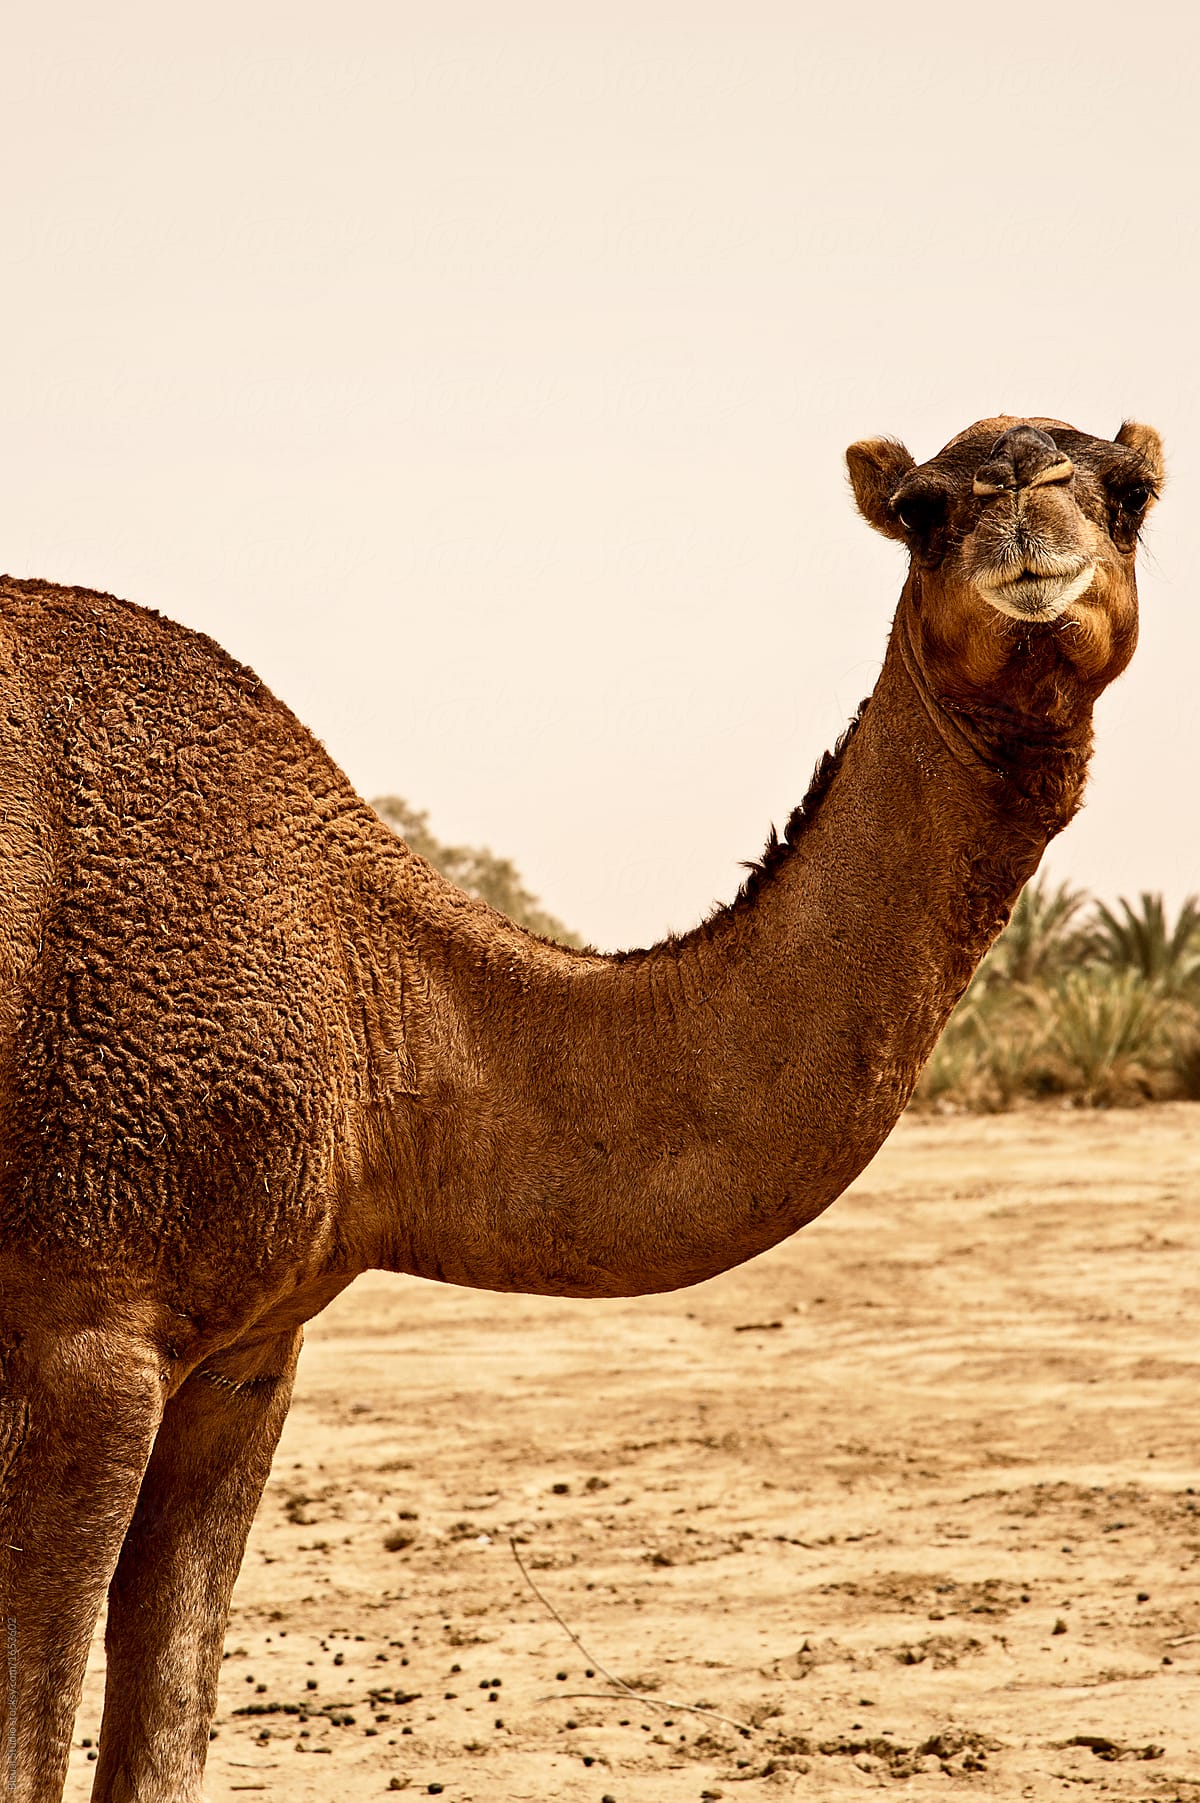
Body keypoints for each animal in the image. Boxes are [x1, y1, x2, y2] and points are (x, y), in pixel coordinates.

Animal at [0, 414, 1162, 1801]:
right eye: (922, 511)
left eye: (1134, 492)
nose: (1025, 500)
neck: (369, 987)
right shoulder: (86, 1318)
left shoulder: (247, 1351)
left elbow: (167, 1730)